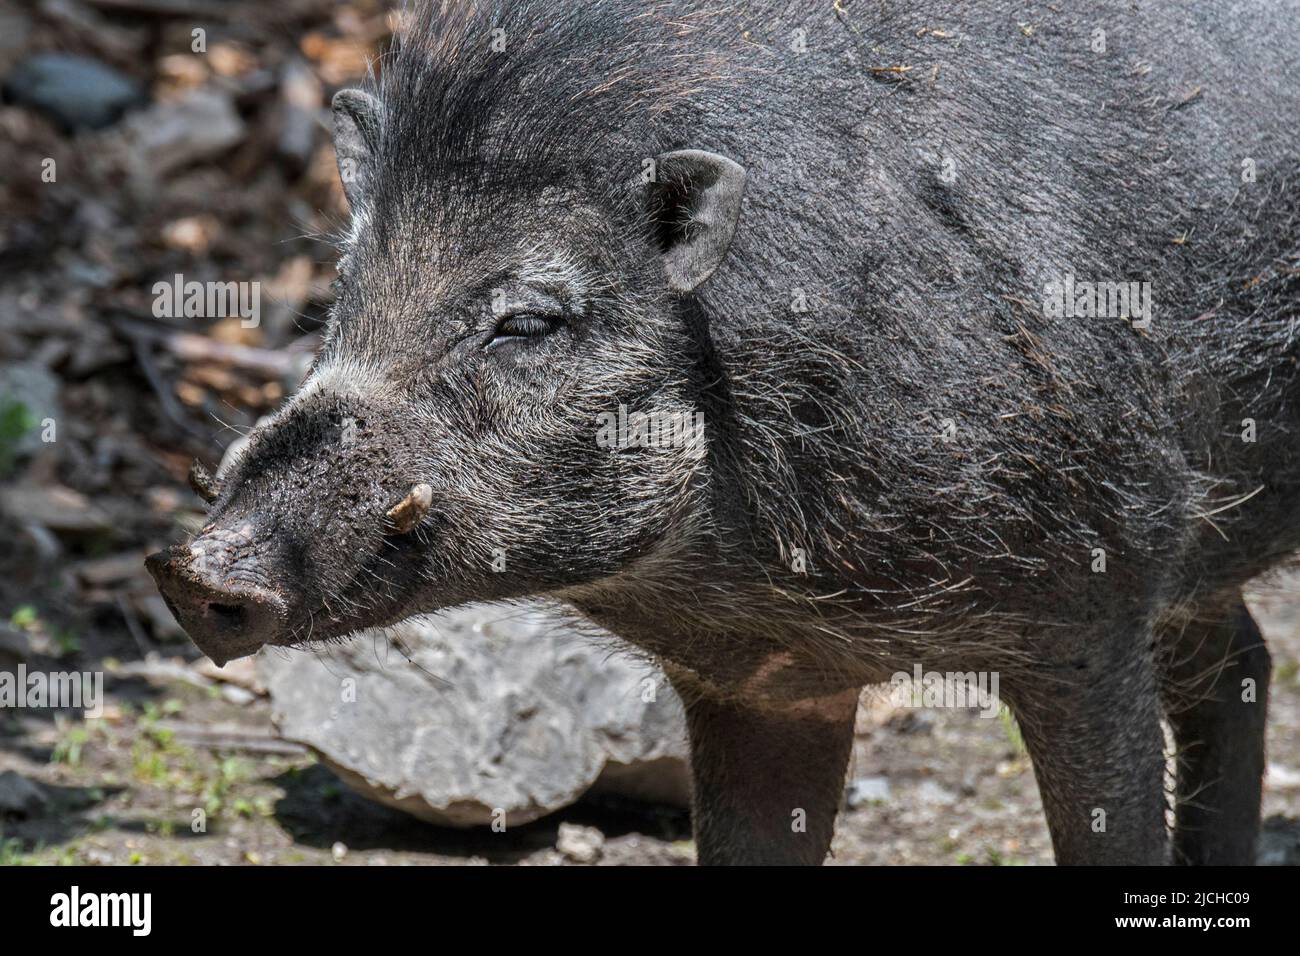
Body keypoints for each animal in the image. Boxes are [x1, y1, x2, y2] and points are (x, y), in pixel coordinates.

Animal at [148, 0, 1300, 865]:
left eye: (527, 321)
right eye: (343, 291)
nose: (197, 568)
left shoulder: (1093, 603)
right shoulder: (764, 685)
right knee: (1239, 660)